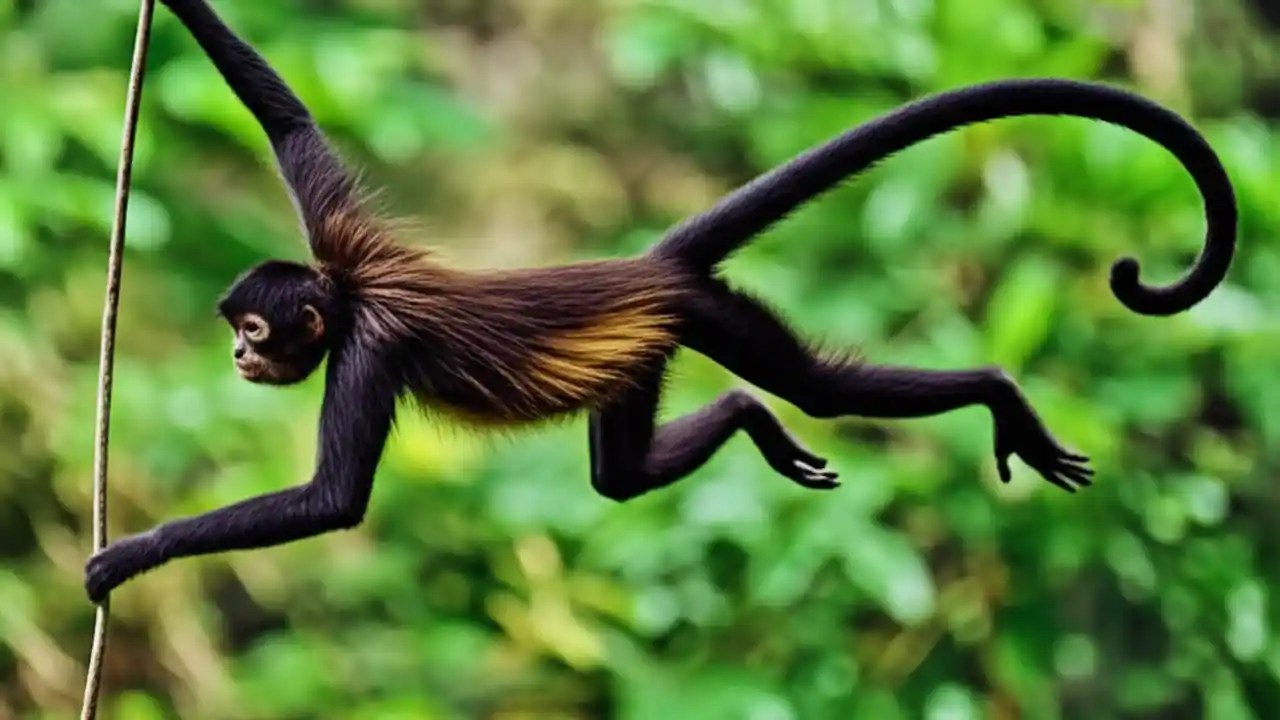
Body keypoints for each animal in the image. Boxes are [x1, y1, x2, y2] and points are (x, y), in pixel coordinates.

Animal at [84, 0, 1237, 603]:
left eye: (253, 330)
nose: (239, 358)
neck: (349, 295)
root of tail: (651, 268)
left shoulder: (366, 347)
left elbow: (334, 502)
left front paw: (135, 554)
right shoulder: (340, 244)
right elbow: (285, 117)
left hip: (712, 313)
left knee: (812, 386)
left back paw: (993, 392)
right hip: (643, 348)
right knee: (621, 476)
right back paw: (746, 418)